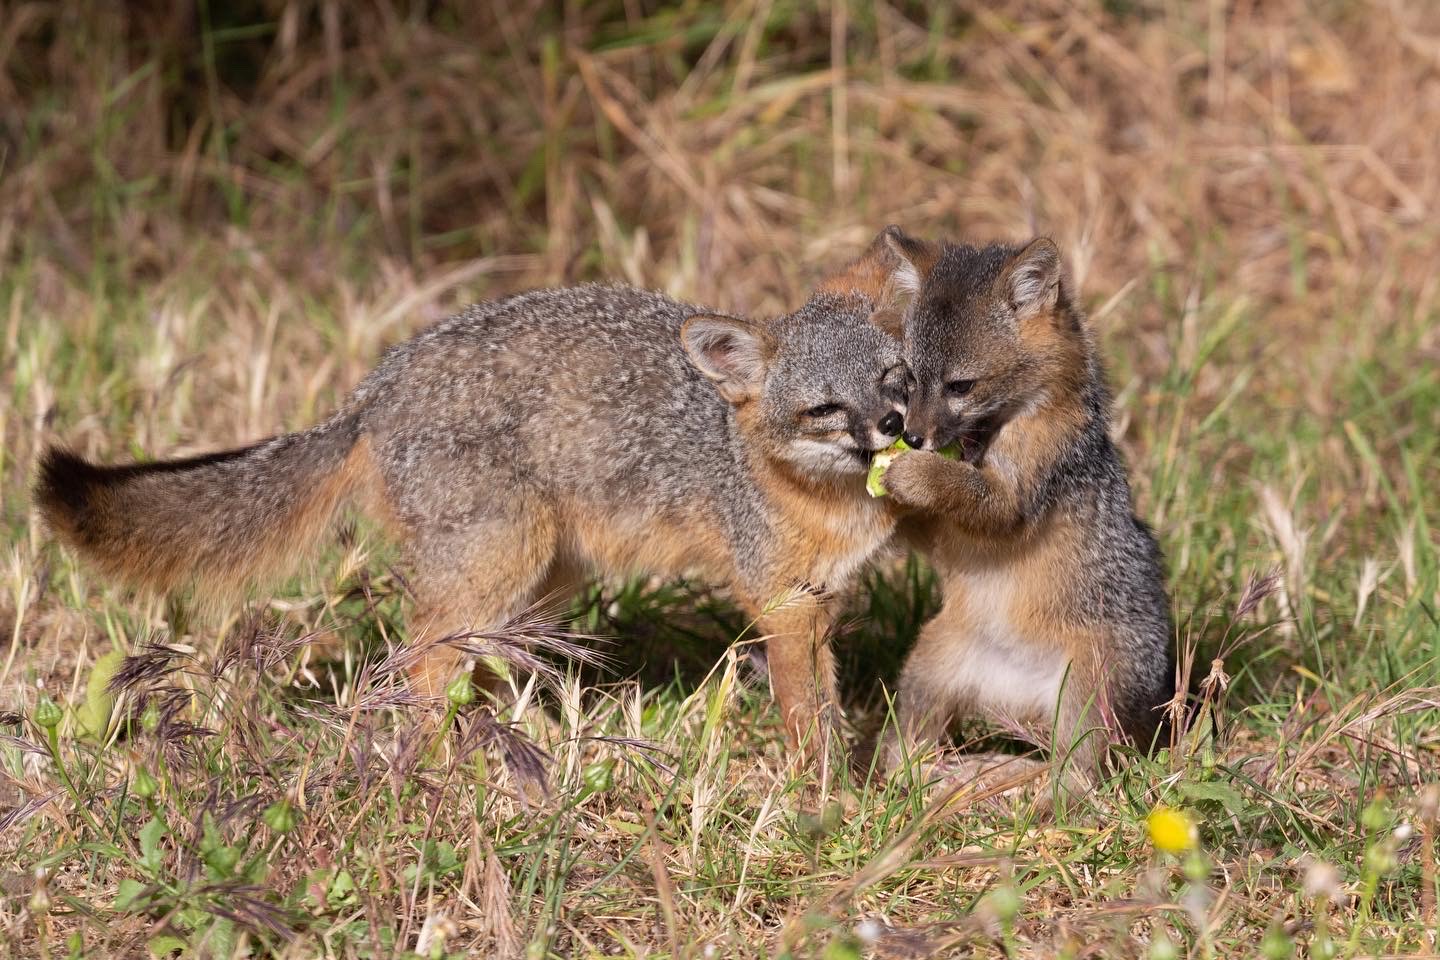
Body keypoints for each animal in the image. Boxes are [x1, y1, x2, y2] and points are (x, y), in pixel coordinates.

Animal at [34, 239, 913, 768]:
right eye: (826, 409)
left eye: (894, 381)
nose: (893, 428)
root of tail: (375, 390)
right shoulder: (781, 606)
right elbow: (806, 716)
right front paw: (817, 796)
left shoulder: (823, 605)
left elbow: (829, 700)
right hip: (498, 564)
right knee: (423, 660)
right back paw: (437, 768)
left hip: (537, 582)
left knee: (480, 665)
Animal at [870, 228, 1175, 785]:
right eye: (910, 379)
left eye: (960, 386)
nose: (912, 437)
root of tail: (1017, 695)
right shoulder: (948, 533)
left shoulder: (1014, 503)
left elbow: (964, 489)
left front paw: (910, 473)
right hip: (928, 668)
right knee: (911, 751)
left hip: (1084, 699)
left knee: (1077, 780)